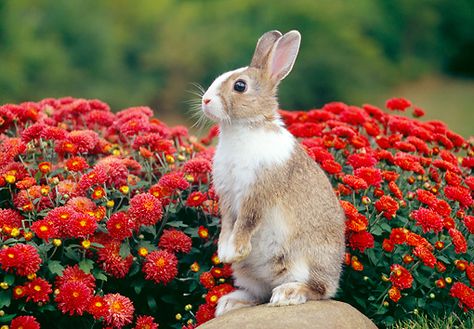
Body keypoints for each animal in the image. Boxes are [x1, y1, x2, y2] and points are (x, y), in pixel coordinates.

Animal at [200, 30, 344, 316]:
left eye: (240, 86)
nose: (205, 100)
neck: (245, 127)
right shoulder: (227, 197)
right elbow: (228, 224)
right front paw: (224, 252)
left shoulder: (256, 193)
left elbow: (245, 223)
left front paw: (234, 250)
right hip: (248, 274)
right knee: (260, 294)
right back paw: (230, 303)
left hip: (303, 261)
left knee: (318, 291)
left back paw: (288, 293)